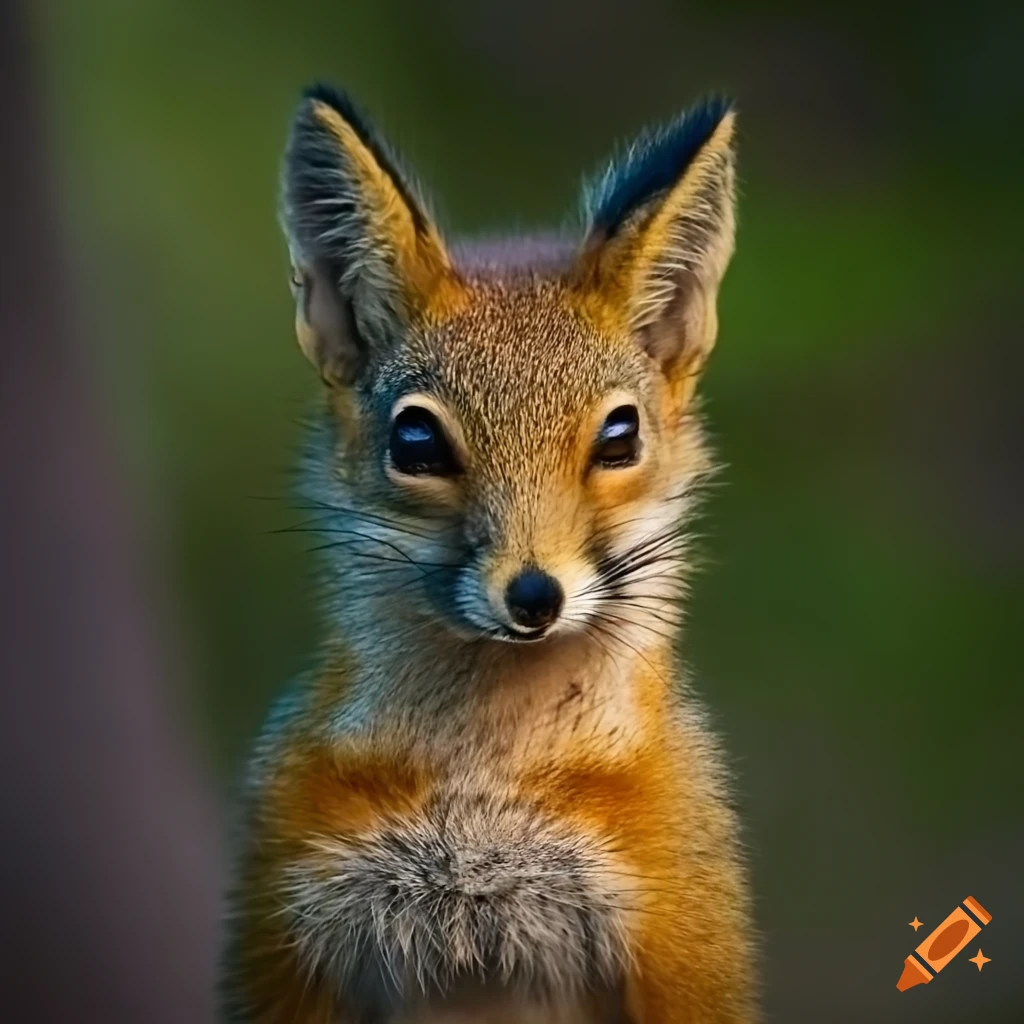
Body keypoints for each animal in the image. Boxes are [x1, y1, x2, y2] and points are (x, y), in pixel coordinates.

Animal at [220, 82, 757, 1024]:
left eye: (618, 437)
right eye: (419, 443)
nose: (534, 596)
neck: (482, 793)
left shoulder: (684, 959)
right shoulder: (283, 948)